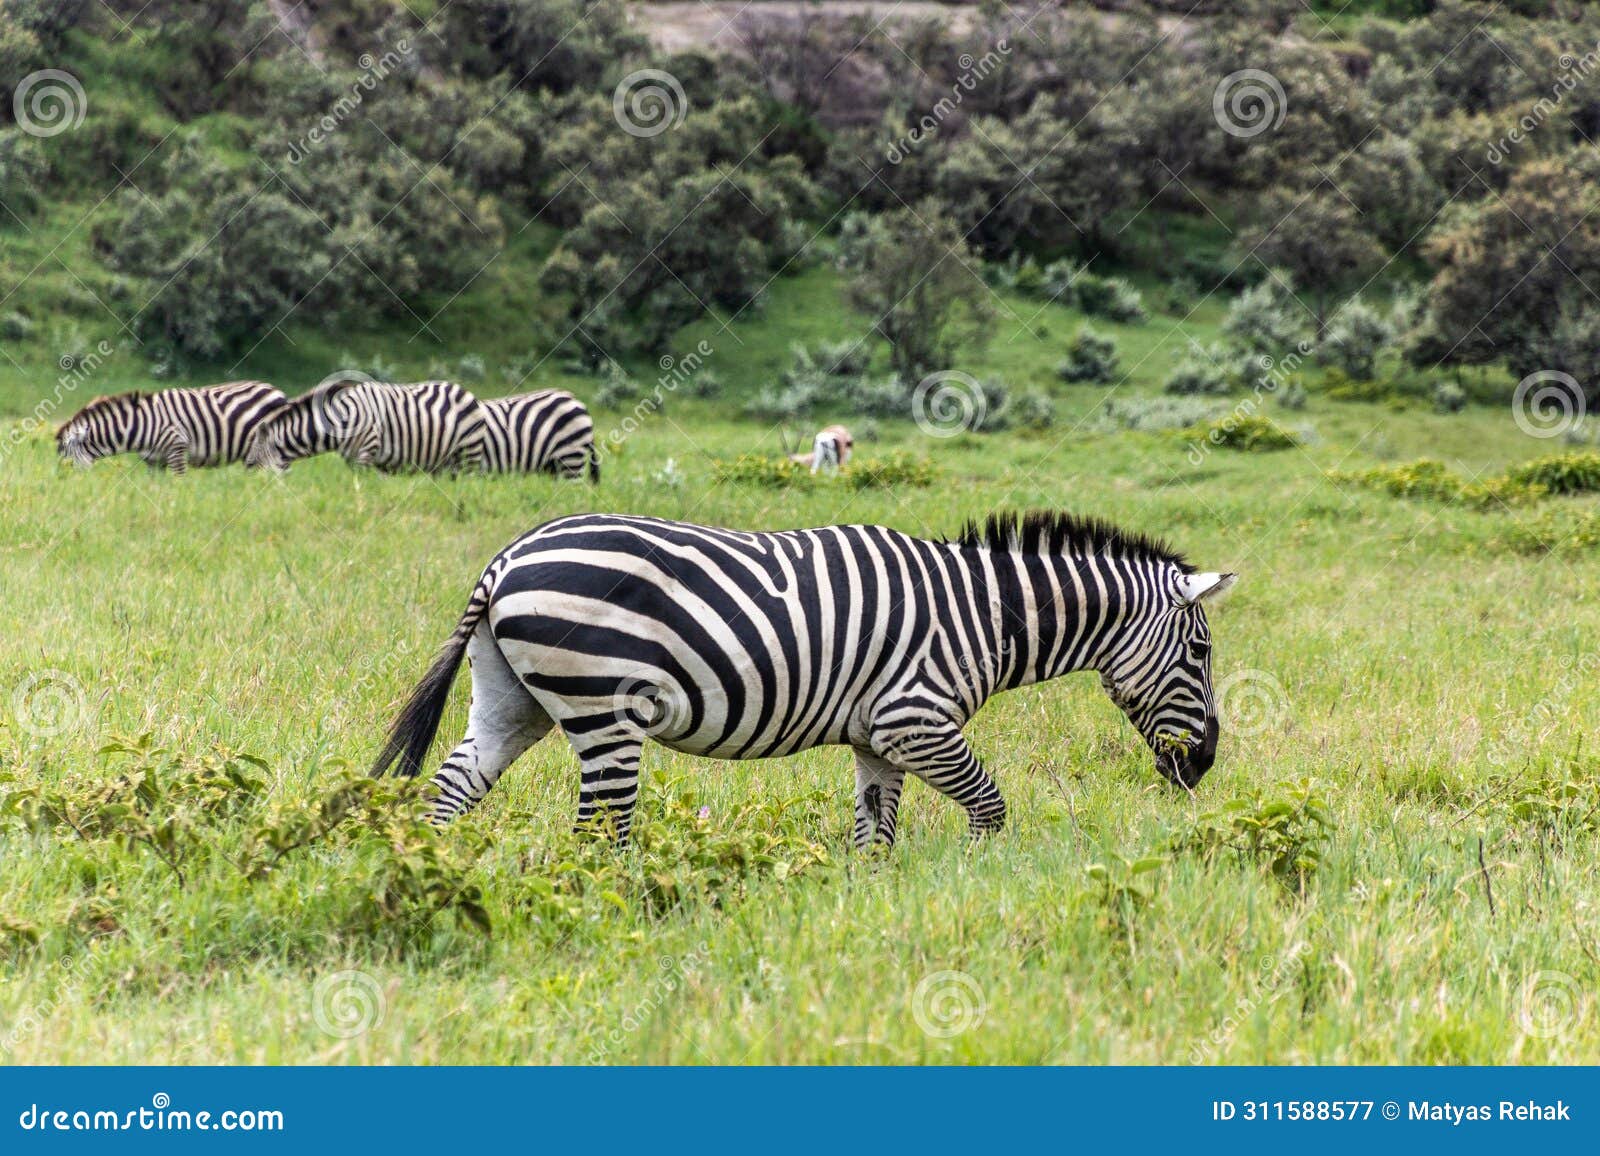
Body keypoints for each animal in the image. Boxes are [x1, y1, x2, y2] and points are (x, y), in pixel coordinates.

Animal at [56, 381, 287, 474]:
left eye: (68, 460)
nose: (63, 482)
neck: (141, 424)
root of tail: (276, 390)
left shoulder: (177, 448)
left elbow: (178, 484)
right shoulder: (154, 461)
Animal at [245, 379, 484, 473]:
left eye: (253, 457)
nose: (245, 469)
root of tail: (465, 391)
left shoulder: (366, 452)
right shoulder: (352, 458)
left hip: (467, 455)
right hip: (444, 464)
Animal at [372, 511, 1237, 848]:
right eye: (1201, 652)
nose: (1202, 767)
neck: (984, 615)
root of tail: (506, 559)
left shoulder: (878, 737)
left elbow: (874, 835)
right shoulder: (915, 719)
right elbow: (991, 807)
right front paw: (978, 873)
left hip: (513, 699)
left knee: (453, 785)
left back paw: (429, 869)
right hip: (601, 711)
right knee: (598, 829)